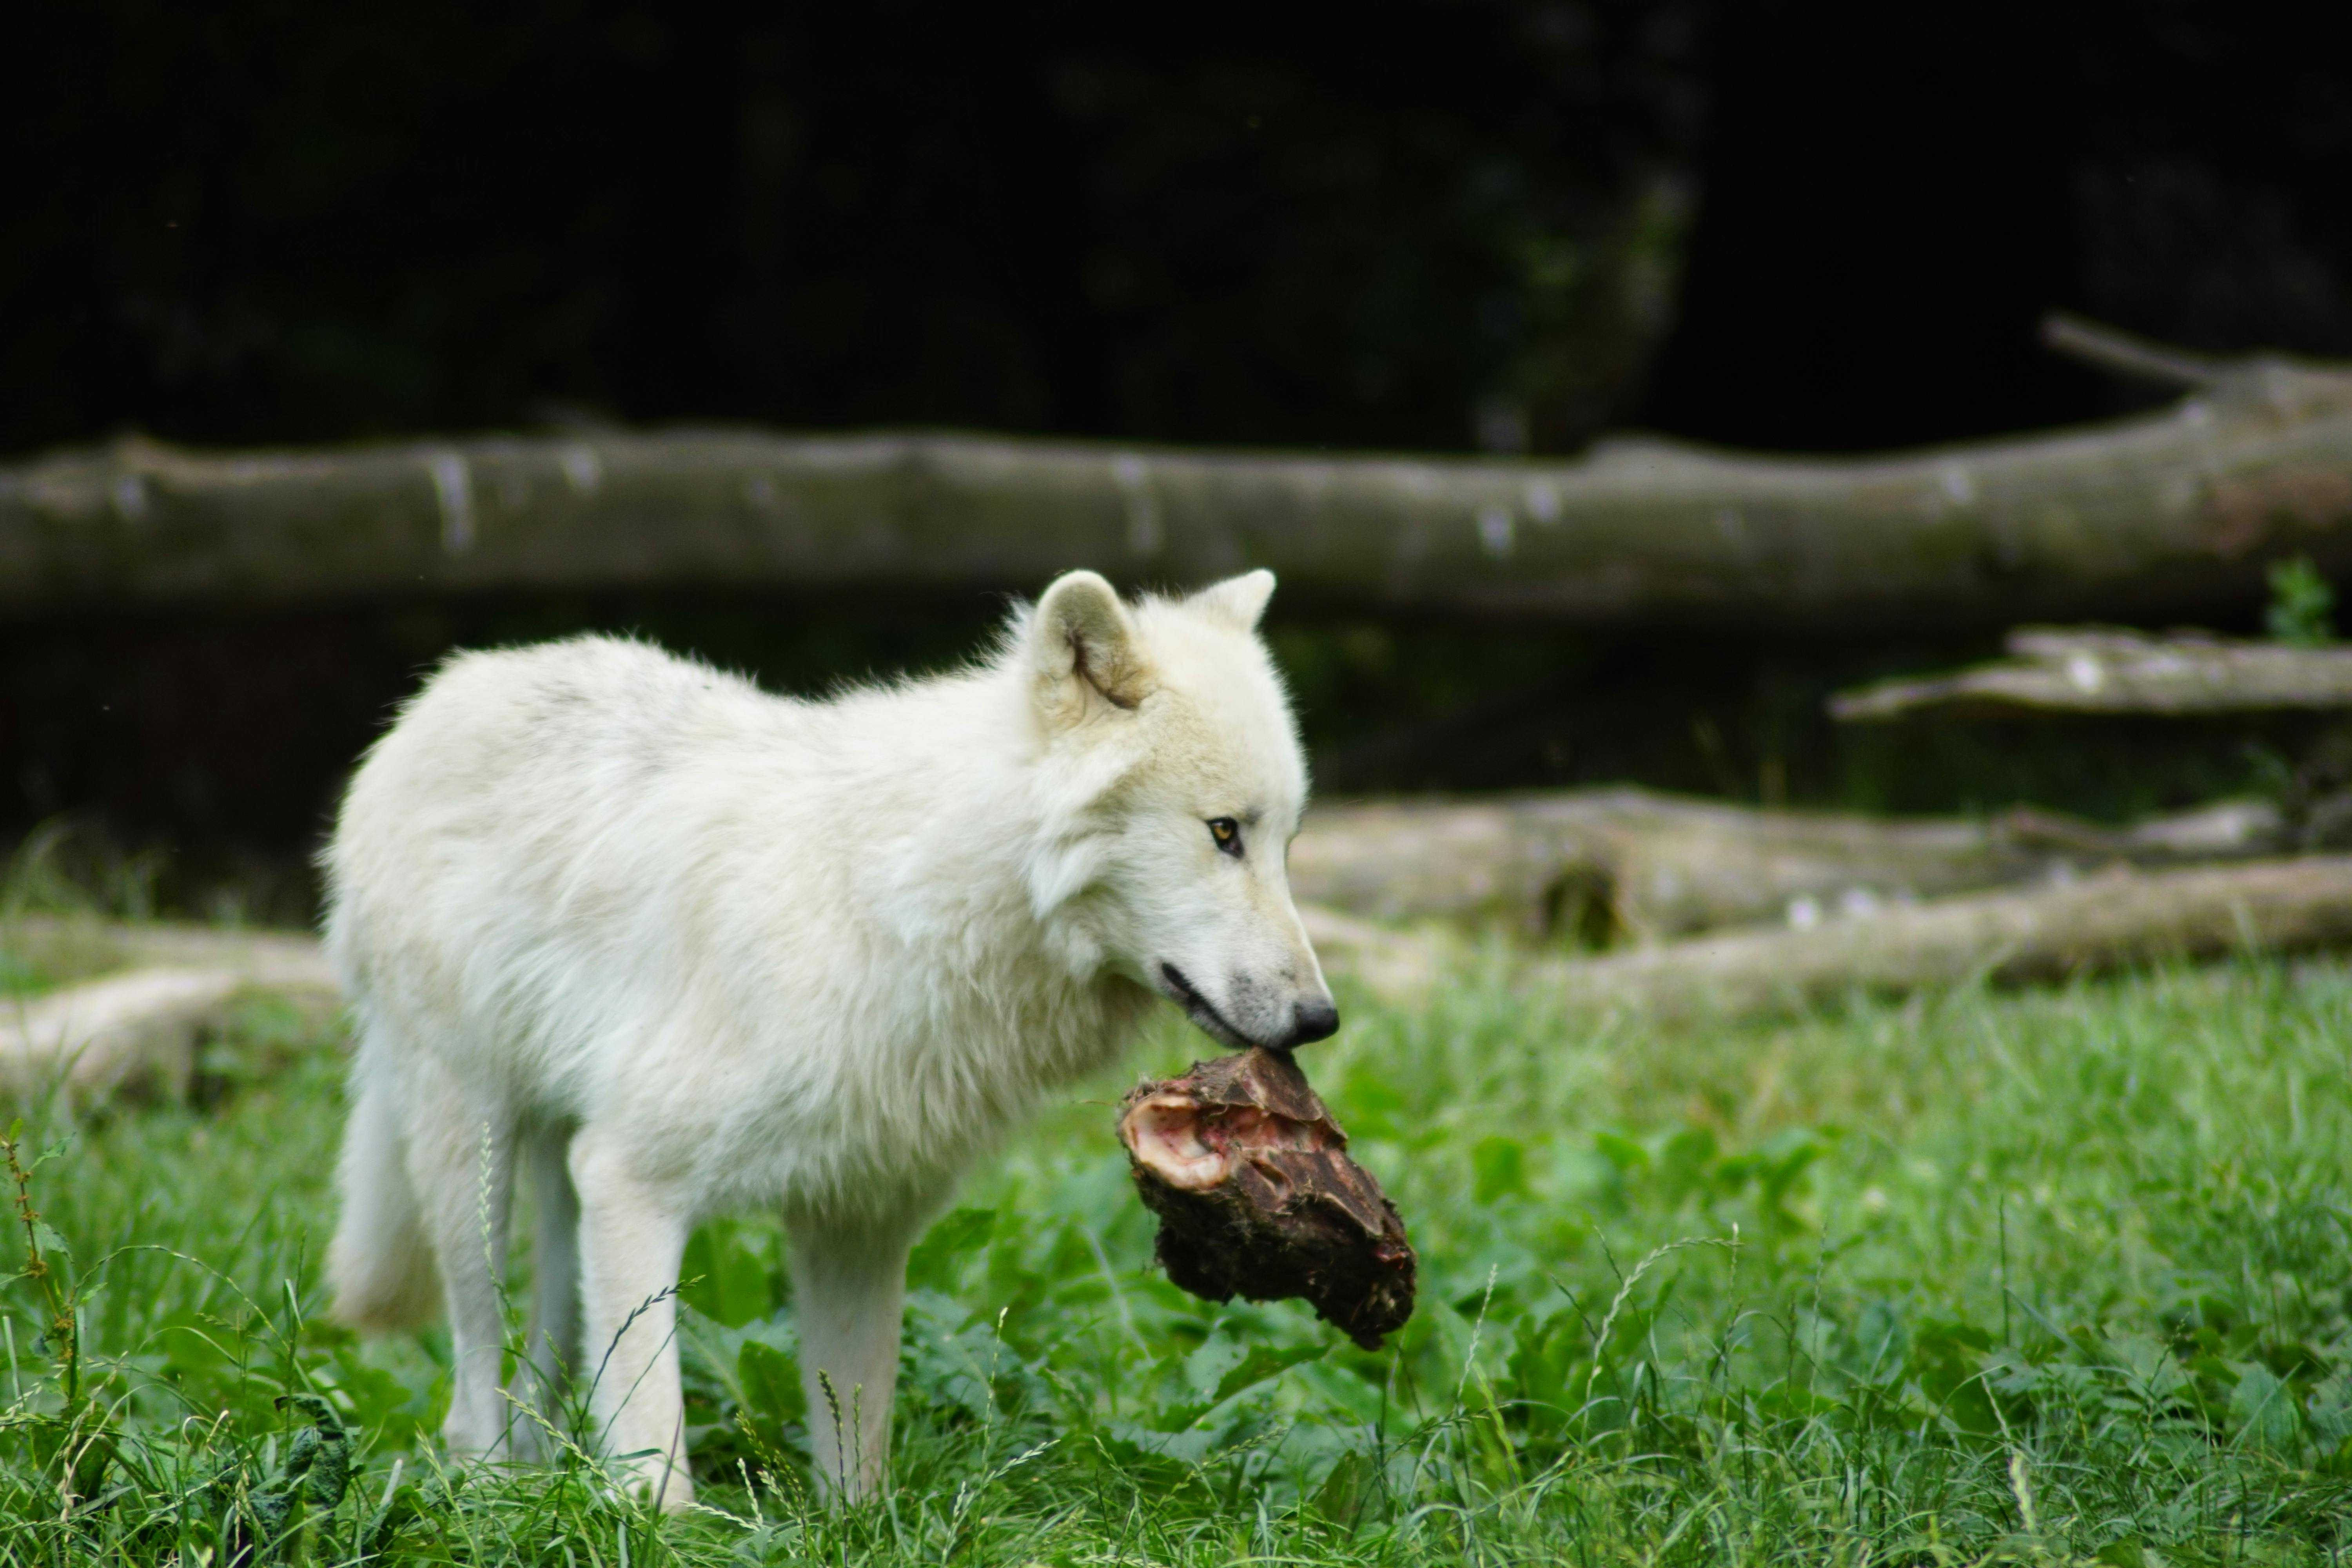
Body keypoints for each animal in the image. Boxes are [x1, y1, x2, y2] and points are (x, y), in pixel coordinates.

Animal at [320, 568, 1336, 1508]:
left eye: (1286, 843)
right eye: (1222, 832)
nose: (1321, 1019)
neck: (911, 907)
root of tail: (445, 689)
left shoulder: (858, 1220)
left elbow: (857, 1447)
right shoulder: (631, 1178)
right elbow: (652, 1432)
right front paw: (664, 1526)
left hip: (557, 1174)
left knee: (546, 1353)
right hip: (474, 1161)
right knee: (473, 1379)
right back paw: (493, 1492)